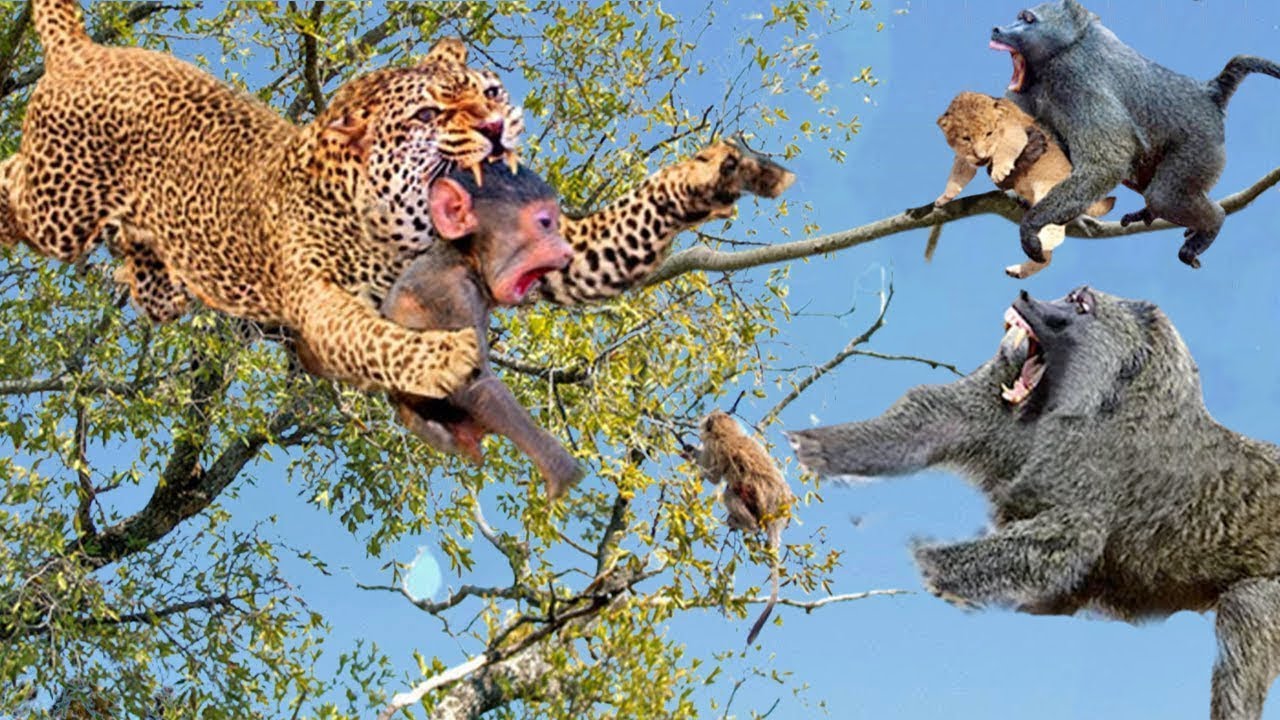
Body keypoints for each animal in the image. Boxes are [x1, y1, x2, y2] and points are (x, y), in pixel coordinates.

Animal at [298, 161, 584, 499]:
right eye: (545, 223)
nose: (566, 252)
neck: (466, 258)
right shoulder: (451, 293)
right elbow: (475, 383)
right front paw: (557, 465)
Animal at [698, 410, 794, 645]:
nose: (701, 422)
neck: (728, 432)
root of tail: (776, 516)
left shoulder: (714, 447)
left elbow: (713, 477)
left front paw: (689, 451)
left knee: (729, 492)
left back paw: (749, 526)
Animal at [786, 285, 1280, 719]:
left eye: (1081, 304)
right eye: (1072, 294)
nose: (1027, 296)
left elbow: (1066, 544)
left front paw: (926, 565)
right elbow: (931, 423)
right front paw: (817, 448)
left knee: (1247, 610)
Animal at [934, 91, 1115, 279]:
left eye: (989, 133)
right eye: (966, 138)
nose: (981, 156)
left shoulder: (1017, 131)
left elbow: (1007, 147)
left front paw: (1000, 170)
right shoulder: (964, 158)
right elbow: (958, 175)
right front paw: (944, 198)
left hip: (1049, 195)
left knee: (1055, 232)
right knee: (1047, 259)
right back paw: (1019, 269)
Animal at [990, 0, 1280, 269]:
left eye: (1027, 19)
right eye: (1019, 17)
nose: (997, 29)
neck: (1064, 47)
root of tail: (1208, 93)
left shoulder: (1075, 76)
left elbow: (1106, 163)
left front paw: (1031, 225)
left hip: (1202, 142)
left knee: (1164, 197)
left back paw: (1212, 223)